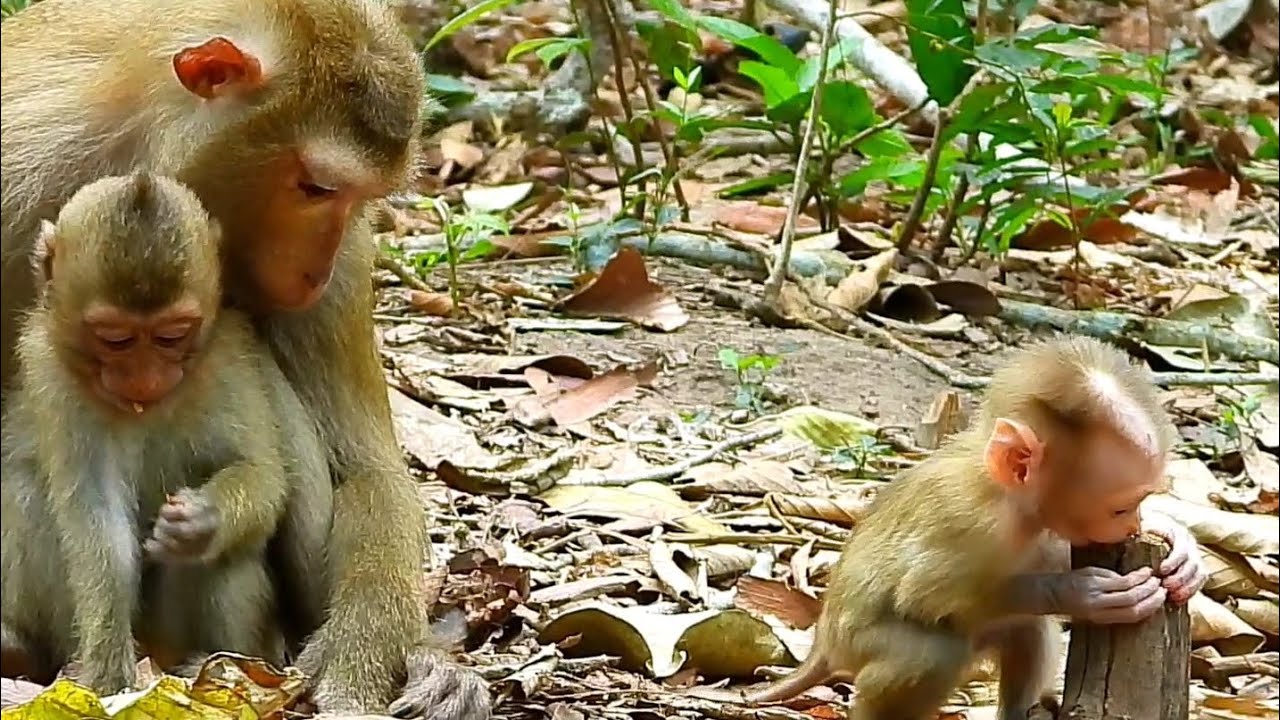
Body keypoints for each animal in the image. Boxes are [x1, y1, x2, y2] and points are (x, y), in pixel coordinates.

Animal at [0, 173, 319, 692]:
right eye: (115, 339)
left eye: (172, 334)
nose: (145, 380)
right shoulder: (51, 376)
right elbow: (98, 522)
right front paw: (109, 676)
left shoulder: (229, 354)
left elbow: (262, 474)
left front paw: (202, 519)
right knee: (25, 490)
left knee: (224, 556)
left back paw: (215, 664)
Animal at [725, 336, 1207, 720]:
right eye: (1120, 508)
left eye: (1137, 507)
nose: (1136, 523)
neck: (1008, 499)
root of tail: (823, 639)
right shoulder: (972, 525)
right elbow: (928, 595)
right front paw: (1082, 593)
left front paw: (1179, 545)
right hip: (859, 644)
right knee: (936, 651)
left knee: (1026, 631)